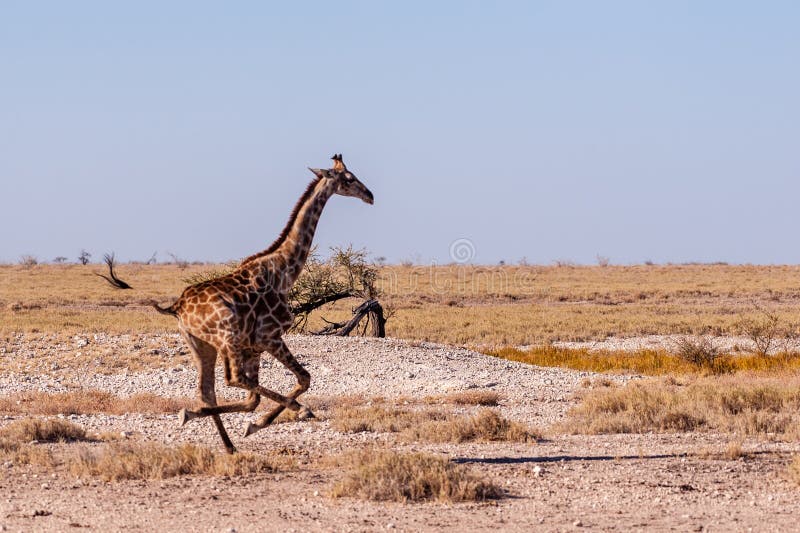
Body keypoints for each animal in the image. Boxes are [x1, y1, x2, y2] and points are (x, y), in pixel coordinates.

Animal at [104, 154, 373, 453]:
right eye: (349, 178)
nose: (370, 195)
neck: (283, 271)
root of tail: (177, 307)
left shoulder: (254, 346)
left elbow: (254, 399)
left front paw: (254, 424)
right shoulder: (269, 336)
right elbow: (302, 379)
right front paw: (287, 414)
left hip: (202, 345)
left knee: (208, 391)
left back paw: (222, 440)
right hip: (226, 336)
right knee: (232, 379)